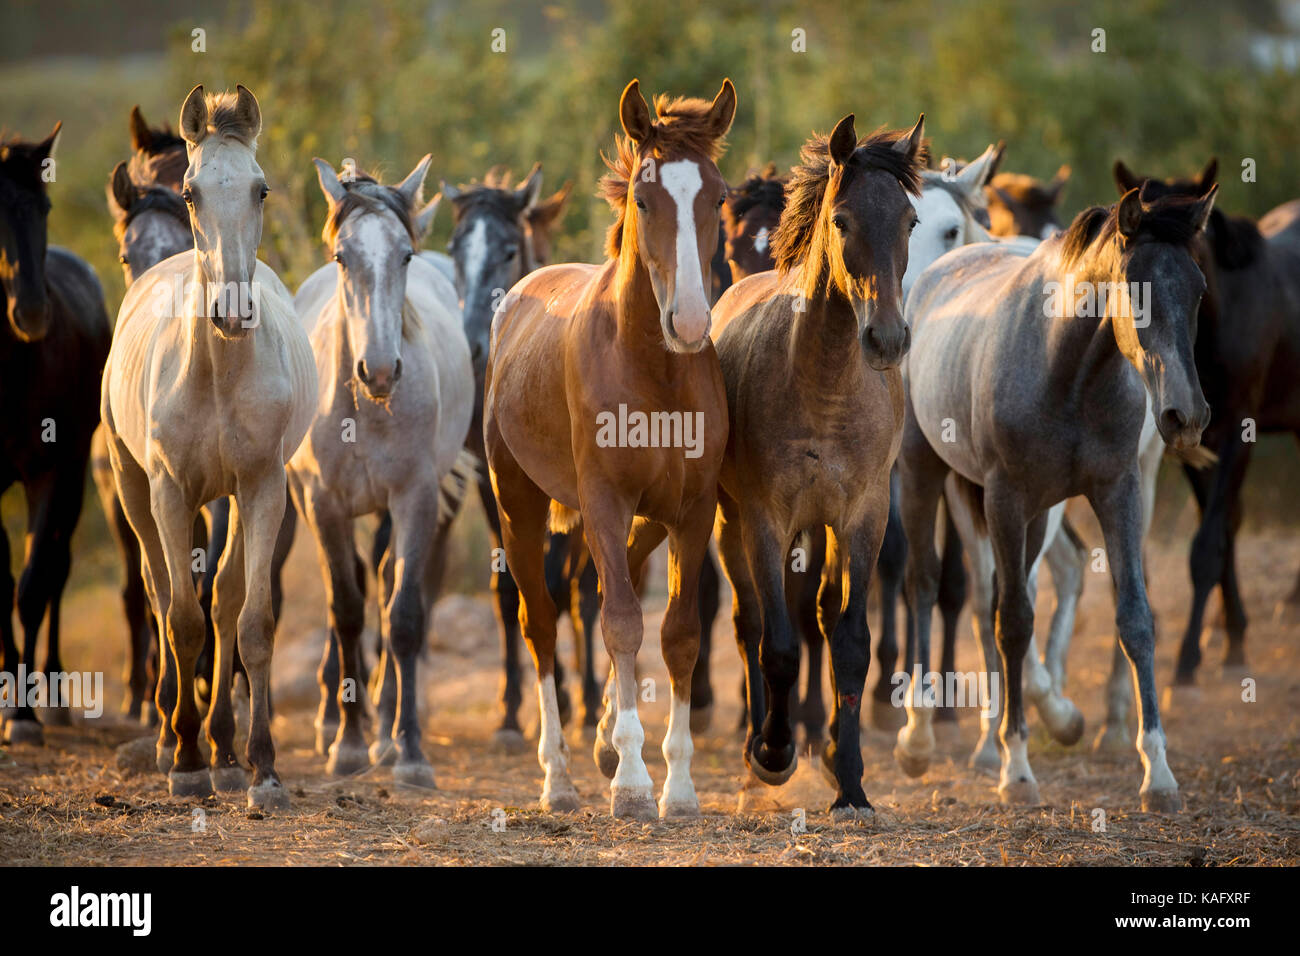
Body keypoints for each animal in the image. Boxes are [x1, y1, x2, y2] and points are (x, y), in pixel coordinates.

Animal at [101, 85, 316, 807]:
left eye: (261, 189)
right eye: (192, 192)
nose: (230, 309)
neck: (218, 370)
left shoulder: (262, 487)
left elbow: (247, 619)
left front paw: (259, 768)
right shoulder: (169, 491)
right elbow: (182, 617)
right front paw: (188, 763)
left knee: (220, 598)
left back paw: (224, 745)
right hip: (134, 489)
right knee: (160, 590)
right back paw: (174, 738)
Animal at [288, 158, 474, 785]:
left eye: (406, 255)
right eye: (342, 256)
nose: (380, 370)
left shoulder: (415, 498)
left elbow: (404, 616)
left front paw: (409, 750)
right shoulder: (324, 504)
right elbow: (345, 610)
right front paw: (346, 744)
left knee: (391, 585)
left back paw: (388, 730)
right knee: (339, 595)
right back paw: (332, 722)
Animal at [485, 78, 736, 818]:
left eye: (718, 197)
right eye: (644, 200)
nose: (690, 321)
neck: (653, 368)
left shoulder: (692, 509)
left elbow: (678, 632)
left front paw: (678, 787)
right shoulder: (602, 499)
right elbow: (622, 623)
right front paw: (631, 783)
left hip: (644, 518)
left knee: (601, 584)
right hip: (518, 506)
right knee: (540, 620)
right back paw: (560, 779)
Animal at [900, 183, 1216, 810]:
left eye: (1198, 290)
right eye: (1136, 292)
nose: (1186, 416)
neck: (1067, 369)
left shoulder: (1116, 491)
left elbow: (1134, 617)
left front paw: (1158, 773)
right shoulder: (1004, 497)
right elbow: (1013, 621)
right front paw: (1017, 769)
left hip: (1039, 511)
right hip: (926, 471)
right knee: (924, 583)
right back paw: (919, 738)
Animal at [1113, 158, 1300, 684]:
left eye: (1199, 271)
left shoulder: (1238, 432)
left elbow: (1207, 544)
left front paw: (1187, 660)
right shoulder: (1195, 441)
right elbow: (1221, 532)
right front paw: (1232, 636)